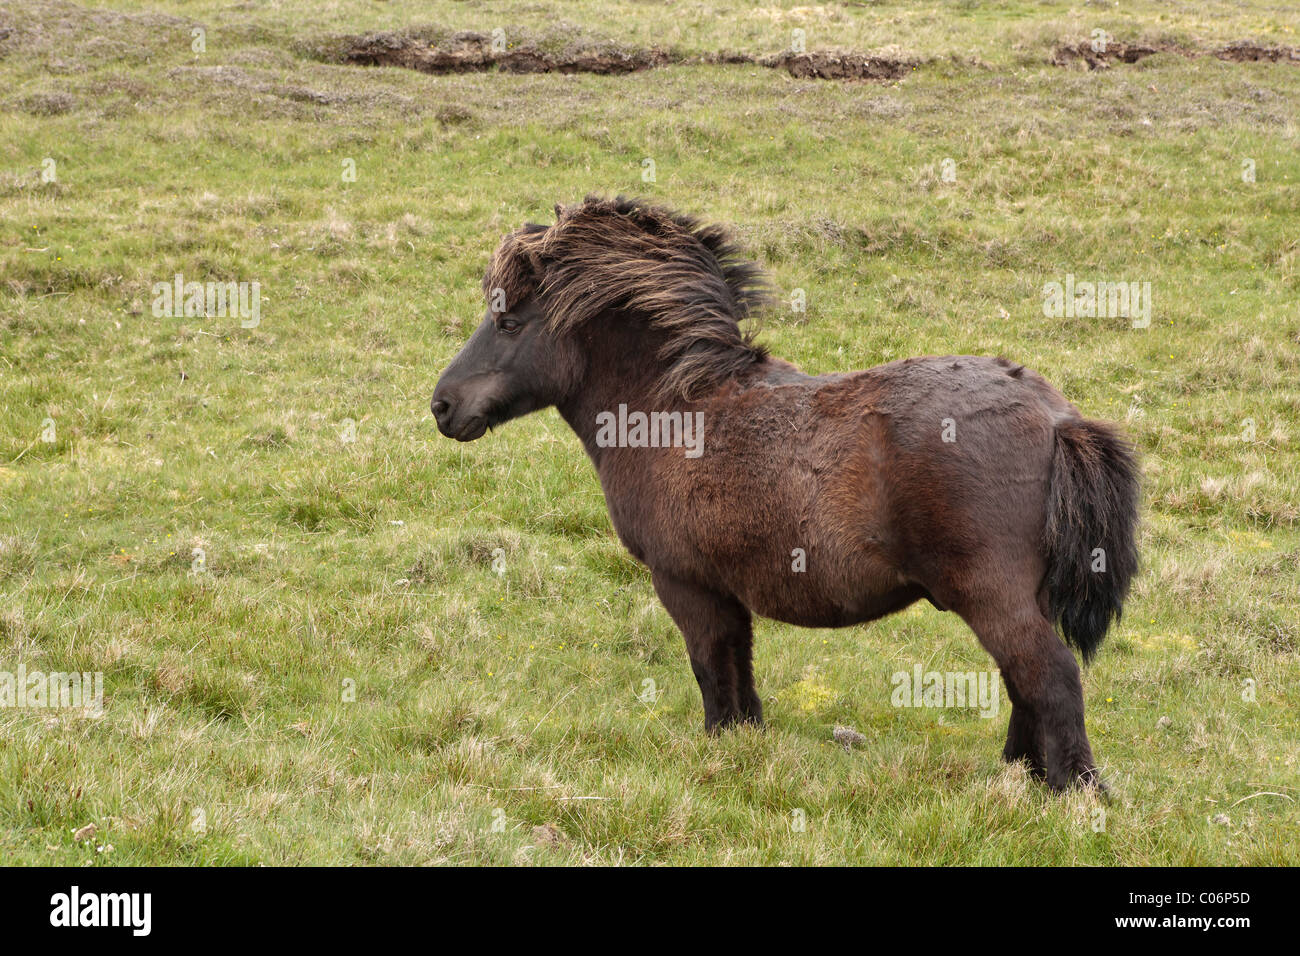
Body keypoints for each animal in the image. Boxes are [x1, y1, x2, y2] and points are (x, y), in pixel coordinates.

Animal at [431, 196, 1139, 791]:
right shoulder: (725, 591)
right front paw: (747, 746)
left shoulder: (687, 586)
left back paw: (1075, 792)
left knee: (1049, 678)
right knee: (1024, 686)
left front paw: (719, 752)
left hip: (993, 597)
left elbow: (713, 673)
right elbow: (740, 676)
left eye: (508, 320)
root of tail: (1055, 417)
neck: (674, 409)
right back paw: (1017, 777)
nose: (442, 405)